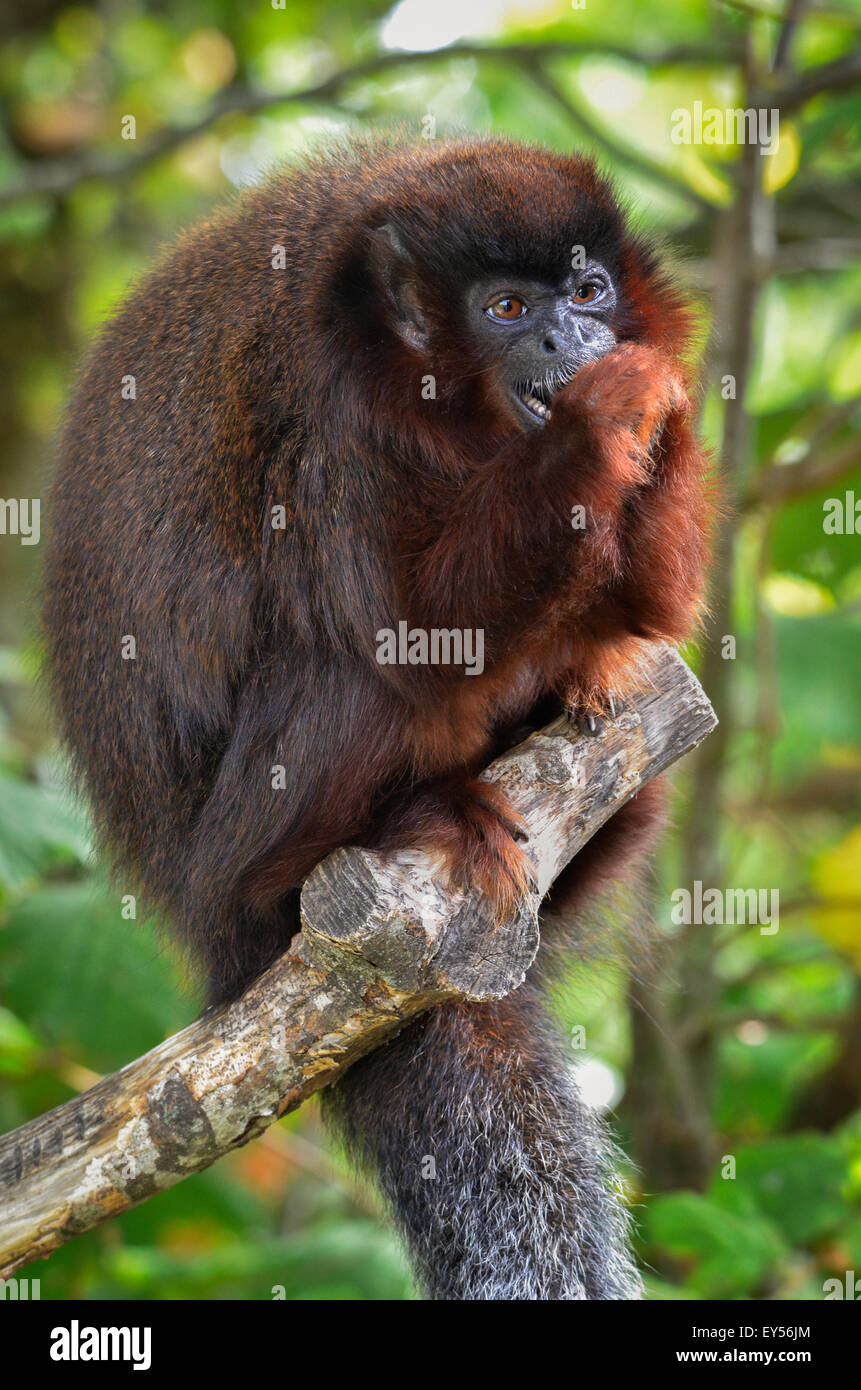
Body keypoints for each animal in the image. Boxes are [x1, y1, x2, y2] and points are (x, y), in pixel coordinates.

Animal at [43, 135, 709, 1301]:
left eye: (587, 290)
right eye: (506, 307)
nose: (570, 336)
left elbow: (656, 611)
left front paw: (651, 411)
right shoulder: (332, 421)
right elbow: (410, 624)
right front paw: (600, 418)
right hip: (236, 870)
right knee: (344, 657)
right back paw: (398, 826)